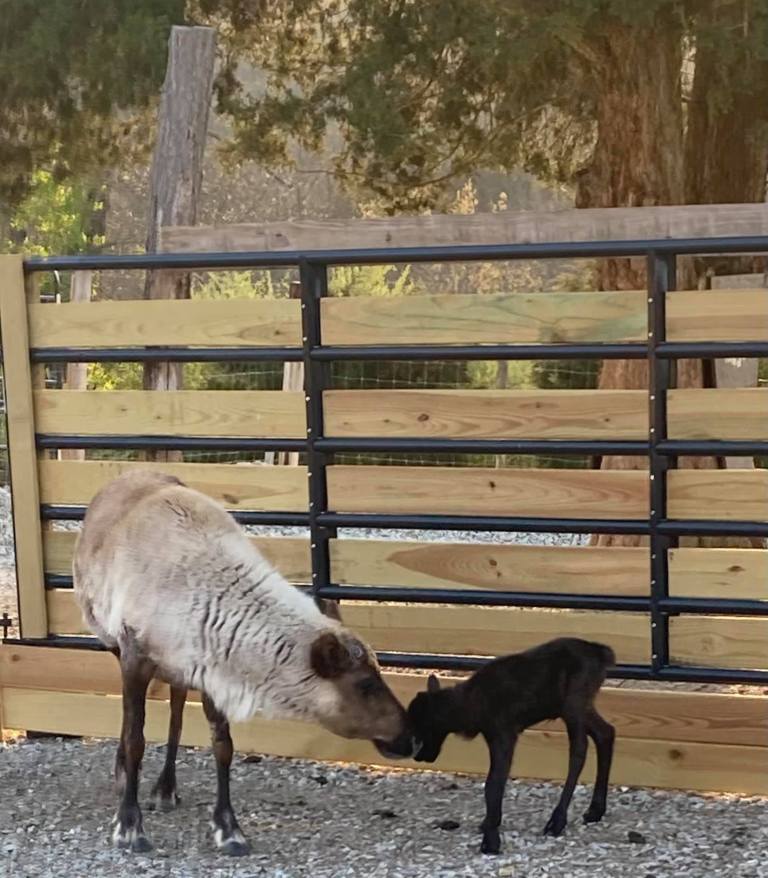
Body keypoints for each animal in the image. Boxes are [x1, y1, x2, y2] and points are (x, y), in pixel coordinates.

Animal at [73, 470, 417, 856]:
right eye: (366, 684)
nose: (411, 736)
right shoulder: (134, 654)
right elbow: (136, 739)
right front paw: (129, 825)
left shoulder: (209, 668)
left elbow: (223, 746)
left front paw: (228, 829)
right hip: (113, 641)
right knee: (134, 718)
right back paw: (125, 777)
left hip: (175, 669)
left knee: (176, 710)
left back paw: (166, 788)